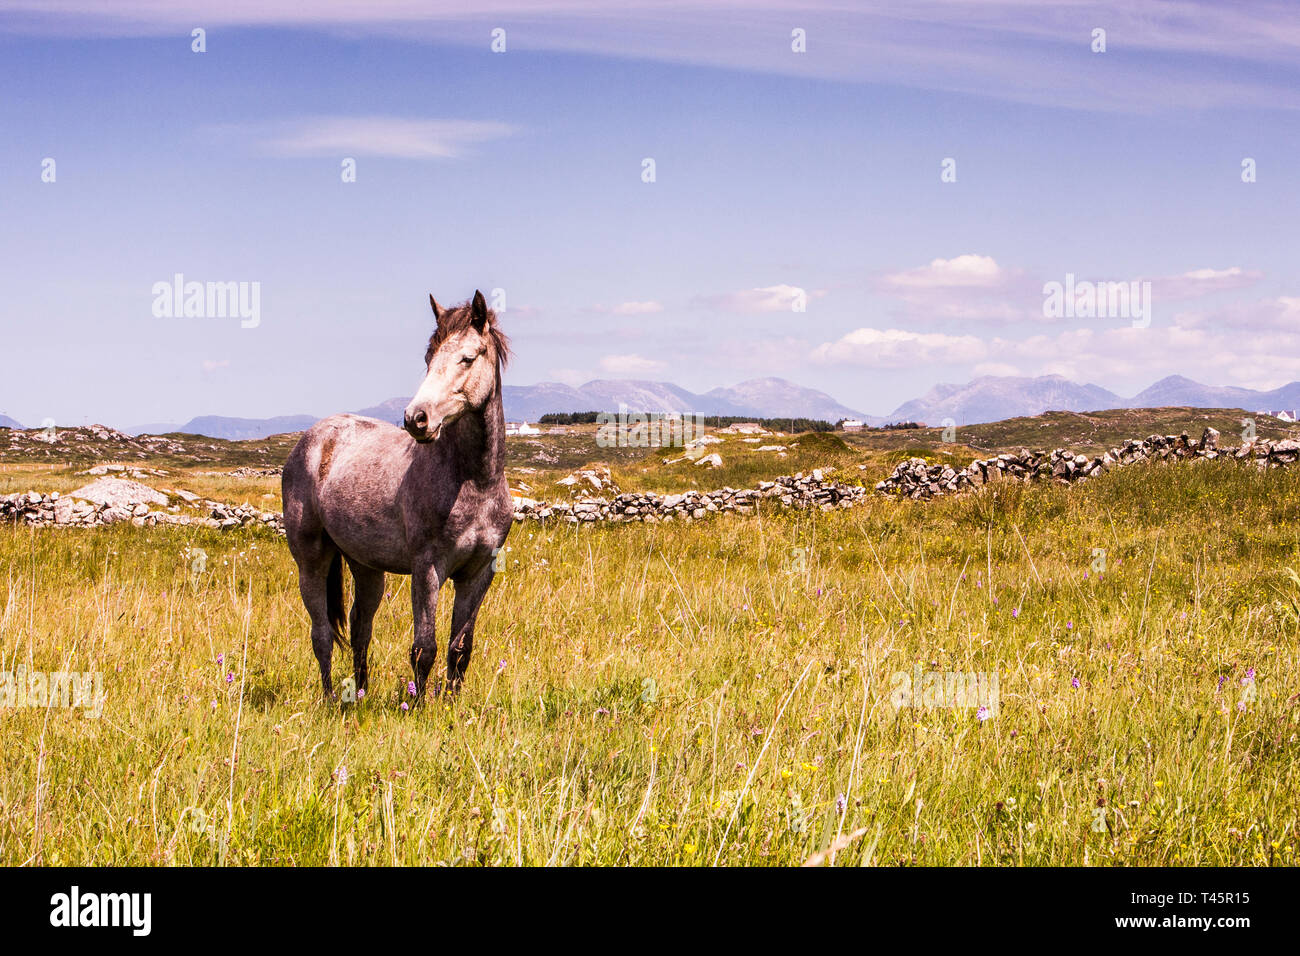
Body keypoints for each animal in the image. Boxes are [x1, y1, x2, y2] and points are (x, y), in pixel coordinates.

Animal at [281, 290, 512, 702]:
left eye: (468, 358)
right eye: (428, 357)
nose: (416, 418)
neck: (475, 483)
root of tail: (311, 439)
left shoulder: (479, 572)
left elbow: (459, 649)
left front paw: (451, 705)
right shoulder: (428, 568)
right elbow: (425, 648)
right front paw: (418, 706)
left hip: (366, 566)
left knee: (360, 628)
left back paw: (359, 696)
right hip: (311, 560)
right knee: (322, 634)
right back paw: (330, 700)